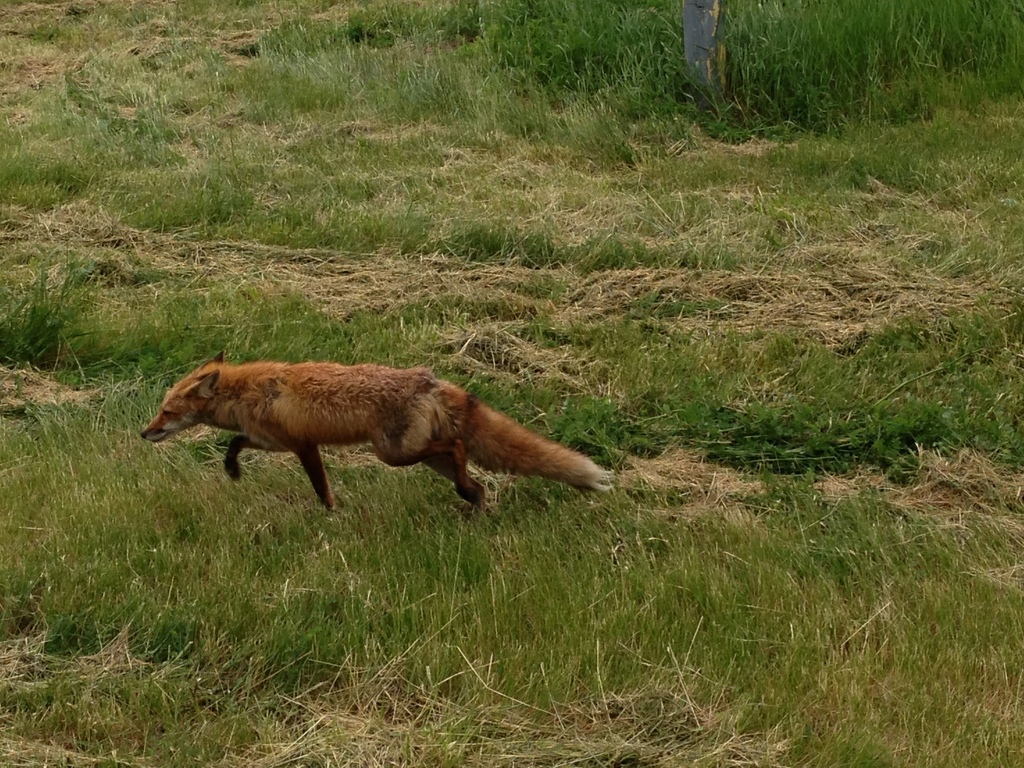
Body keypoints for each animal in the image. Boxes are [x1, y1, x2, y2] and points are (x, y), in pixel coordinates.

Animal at [141, 353, 613, 509]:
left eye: (166, 411)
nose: (145, 432)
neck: (250, 392)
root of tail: (429, 380)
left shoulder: (304, 445)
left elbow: (322, 490)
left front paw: (330, 516)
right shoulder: (272, 441)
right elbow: (235, 443)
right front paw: (232, 470)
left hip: (394, 453)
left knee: (458, 444)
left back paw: (466, 495)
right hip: (418, 455)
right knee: (471, 474)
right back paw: (473, 503)